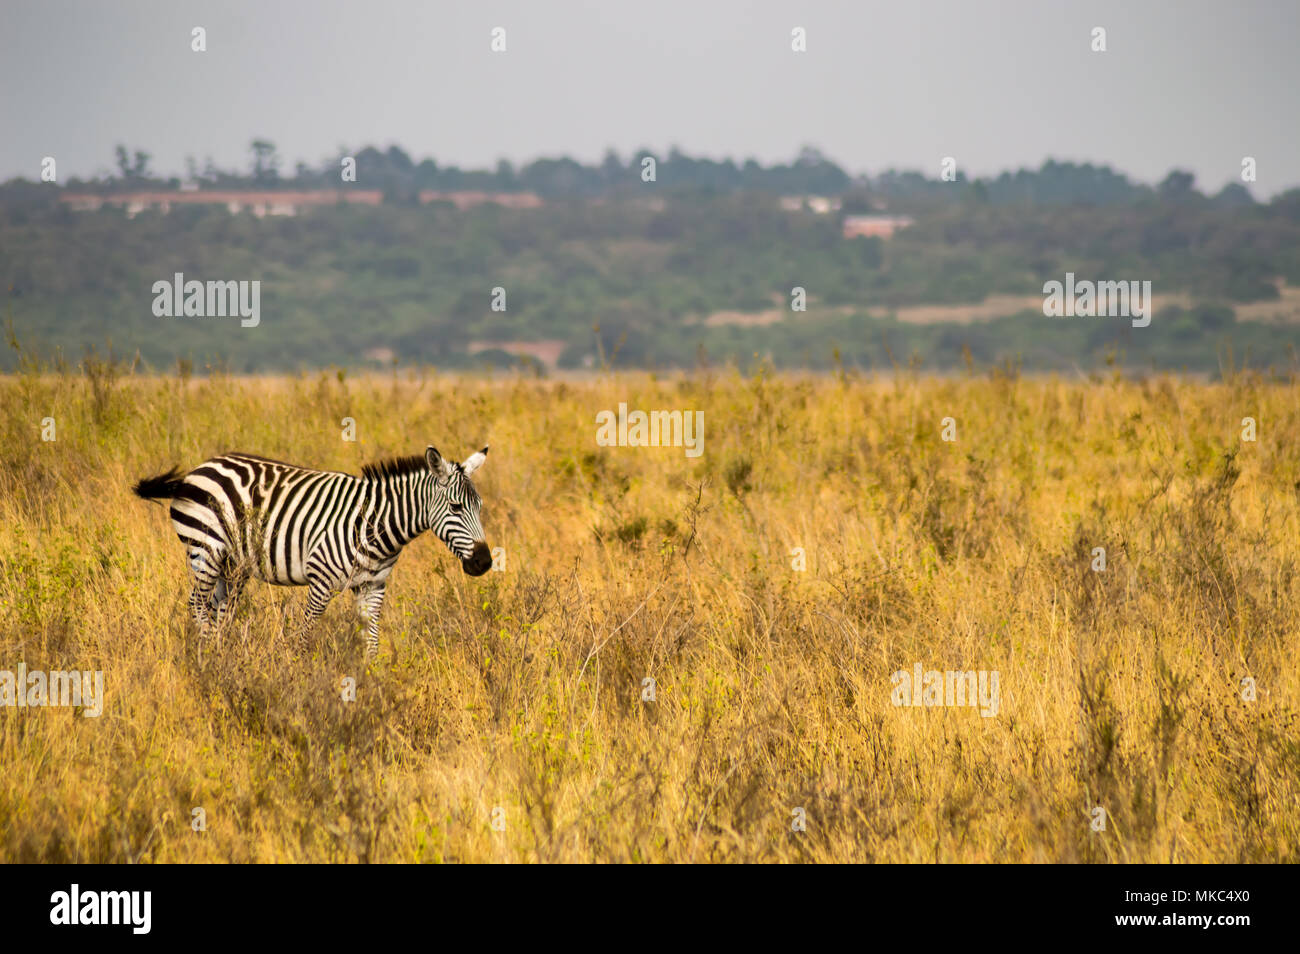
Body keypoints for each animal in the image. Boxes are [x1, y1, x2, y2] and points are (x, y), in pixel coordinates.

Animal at [133, 445, 492, 658]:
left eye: (479, 507)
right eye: (456, 507)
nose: (485, 562)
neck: (375, 525)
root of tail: (200, 467)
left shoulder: (373, 587)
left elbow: (372, 643)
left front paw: (373, 689)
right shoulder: (321, 582)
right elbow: (305, 636)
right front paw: (297, 676)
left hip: (232, 565)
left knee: (220, 607)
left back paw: (221, 654)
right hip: (205, 550)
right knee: (196, 603)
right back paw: (207, 655)